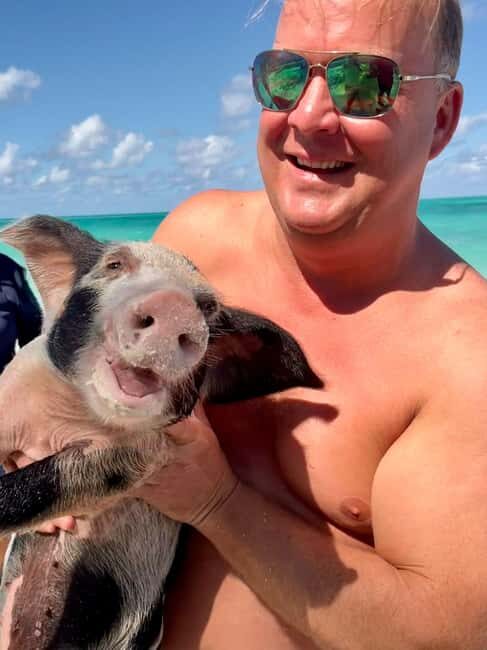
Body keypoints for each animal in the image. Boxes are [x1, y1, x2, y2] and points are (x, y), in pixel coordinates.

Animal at [0, 215, 322, 649]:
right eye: (115, 265)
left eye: (208, 307)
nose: (173, 304)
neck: (69, 420)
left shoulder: (139, 457)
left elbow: (57, 477)